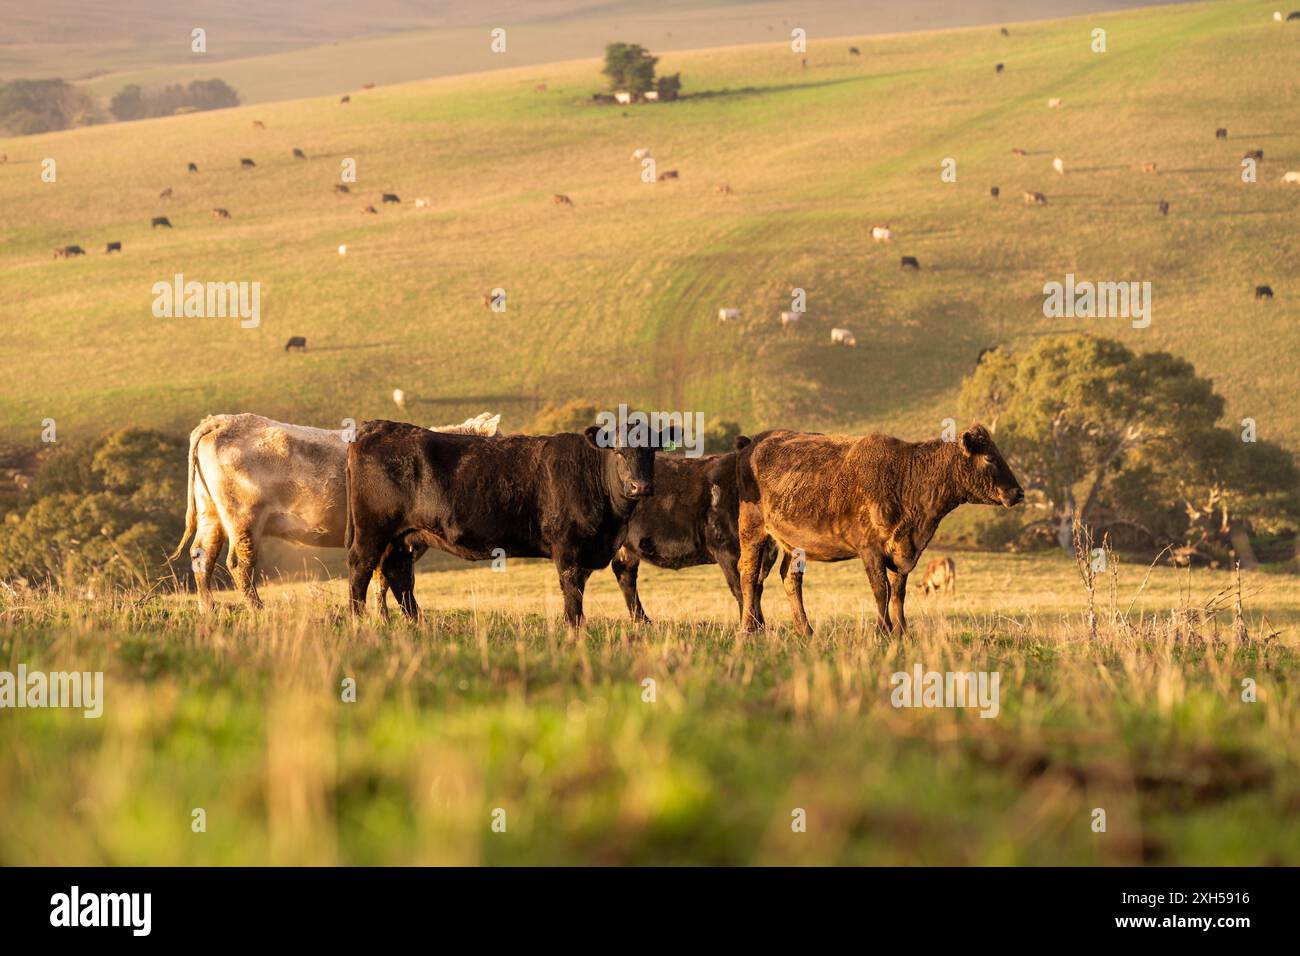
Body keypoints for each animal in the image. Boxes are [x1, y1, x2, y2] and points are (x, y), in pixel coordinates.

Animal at [170, 412, 501, 611]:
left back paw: (209, 609)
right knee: (240, 564)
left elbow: (380, 578)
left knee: (202, 556)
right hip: (243, 517)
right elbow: (387, 578)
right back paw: (257, 609)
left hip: (211, 514)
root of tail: (221, 420)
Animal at [343, 419, 676, 626]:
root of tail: (378, 427)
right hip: (373, 530)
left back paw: (417, 622)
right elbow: (572, 589)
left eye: (651, 450)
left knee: (396, 574)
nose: (639, 486)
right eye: (618, 451)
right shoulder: (568, 547)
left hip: (402, 536)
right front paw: (574, 627)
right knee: (361, 567)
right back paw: (358, 619)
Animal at [611, 439, 778, 622]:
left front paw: (760, 624)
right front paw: (751, 625)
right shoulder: (727, 549)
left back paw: (643, 620)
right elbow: (742, 589)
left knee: (625, 574)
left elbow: (756, 590)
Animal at [735, 424, 1023, 636]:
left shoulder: (902, 550)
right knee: (748, 575)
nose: (1017, 492)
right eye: (989, 457)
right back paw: (749, 629)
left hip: (793, 545)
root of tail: (754, 443)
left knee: (790, 579)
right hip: (753, 531)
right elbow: (881, 589)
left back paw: (806, 631)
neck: (906, 475)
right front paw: (883, 630)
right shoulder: (871, 550)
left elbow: (898, 592)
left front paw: (902, 631)